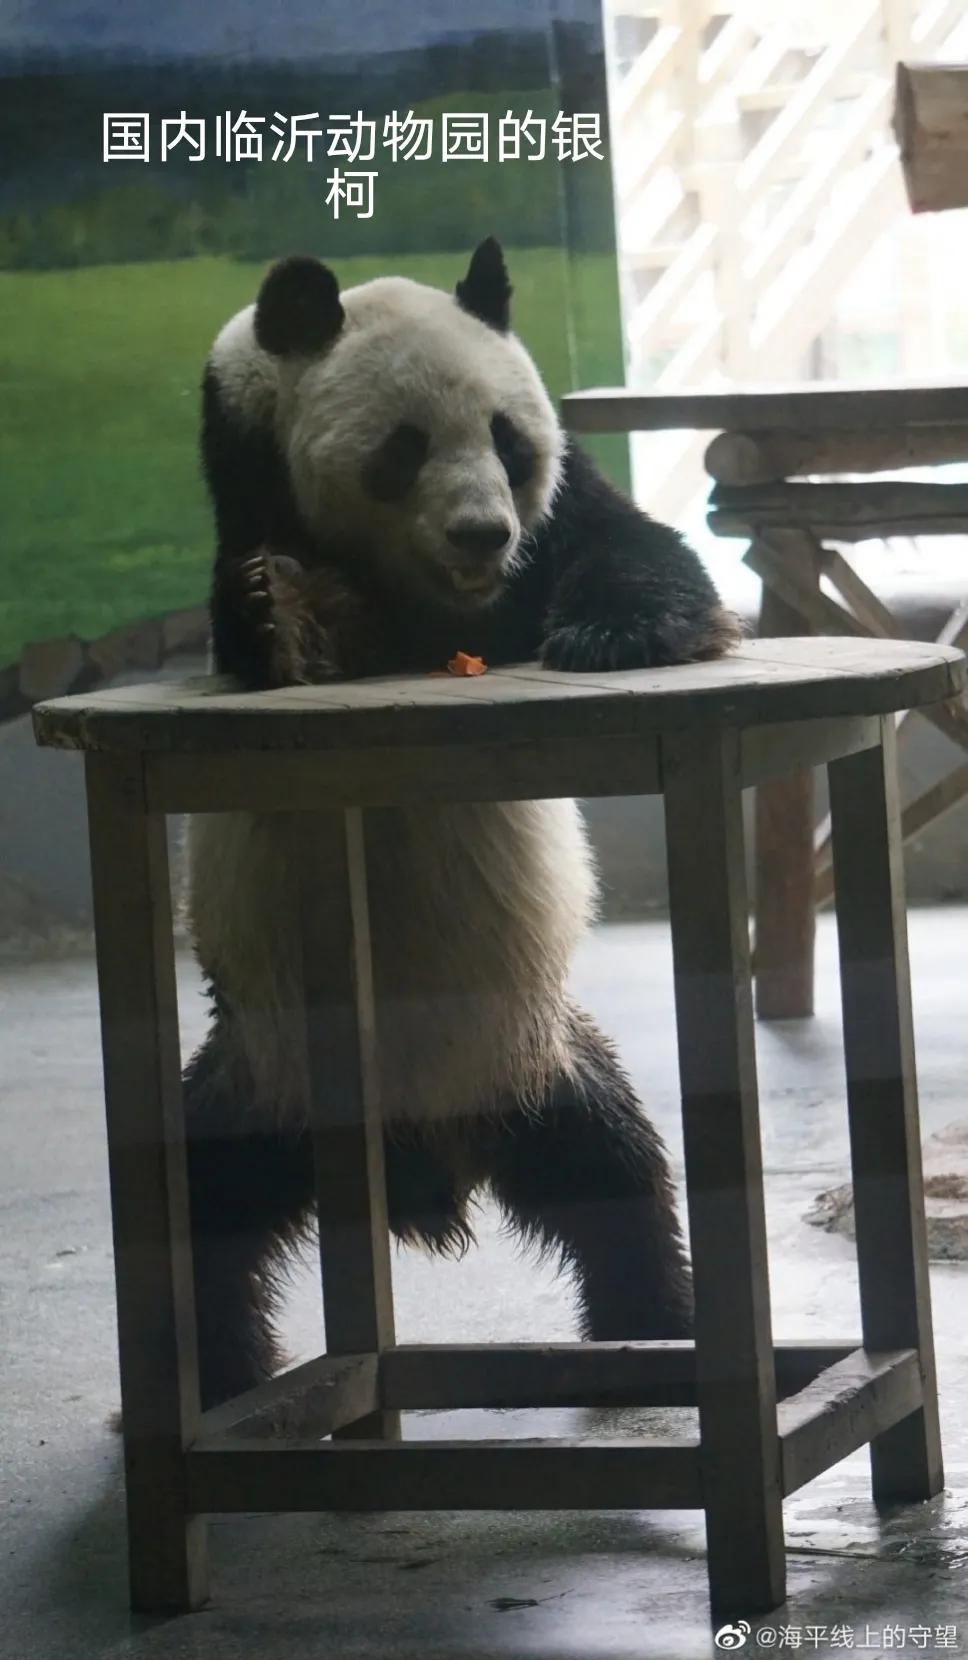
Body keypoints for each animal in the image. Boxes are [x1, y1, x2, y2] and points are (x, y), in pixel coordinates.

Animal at [185, 238, 740, 1408]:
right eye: (404, 449)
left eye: (507, 439)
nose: (483, 531)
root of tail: (423, 1163)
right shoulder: (254, 479)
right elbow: (303, 613)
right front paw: (270, 613)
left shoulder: (556, 517)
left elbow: (641, 552)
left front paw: (608, 634)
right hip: (263, 1073)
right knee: (202, 1215)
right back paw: (219, 1378)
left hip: (533, 1059)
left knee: (615, 1181)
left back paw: (652, 1337)